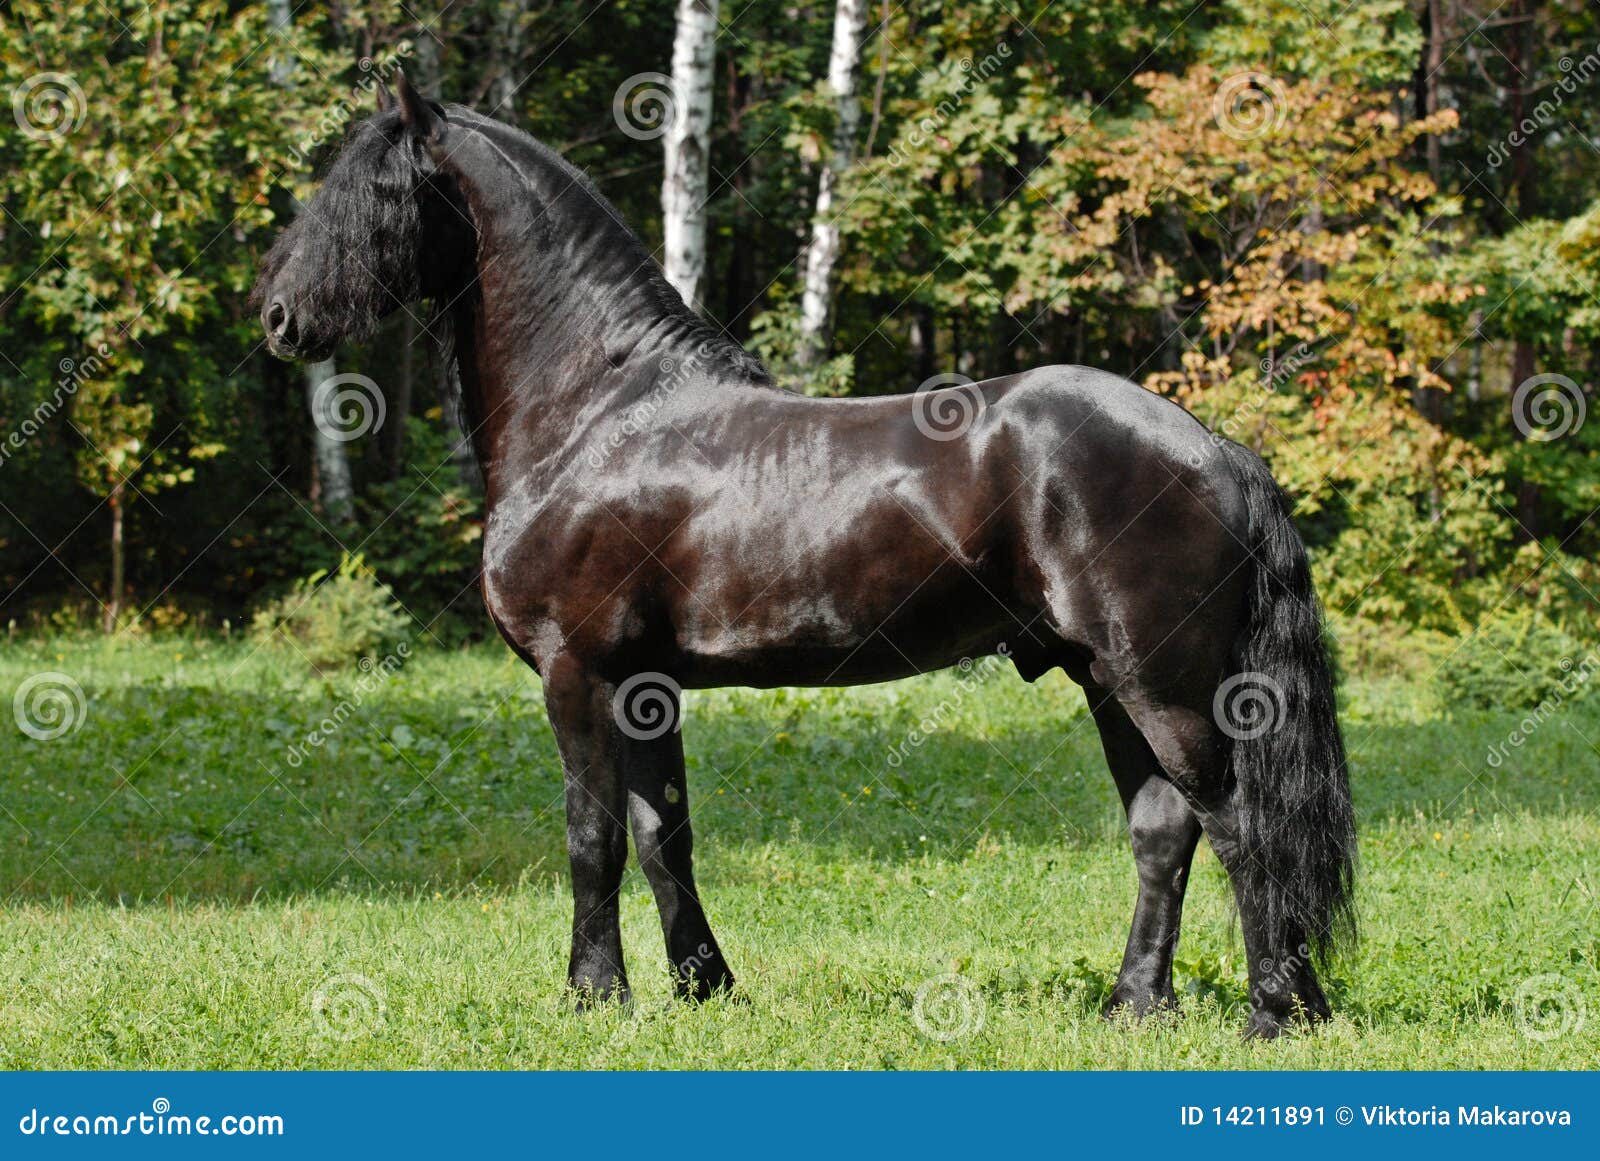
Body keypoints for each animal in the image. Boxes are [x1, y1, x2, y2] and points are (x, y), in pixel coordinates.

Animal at [253, 71, 1355, 1039]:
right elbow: (662, 835)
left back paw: (1272, 1012)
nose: (277, 316)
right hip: (1106, 678)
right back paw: (1136, 1006)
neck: (599, 413)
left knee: (1239, 826)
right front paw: (703, 988)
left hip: (1163, 684)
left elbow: (591, 836)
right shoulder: (646, 683)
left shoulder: (581, 672)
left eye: (371, 189)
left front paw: (593, 996)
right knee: (1164, 830)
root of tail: (1212, 446)